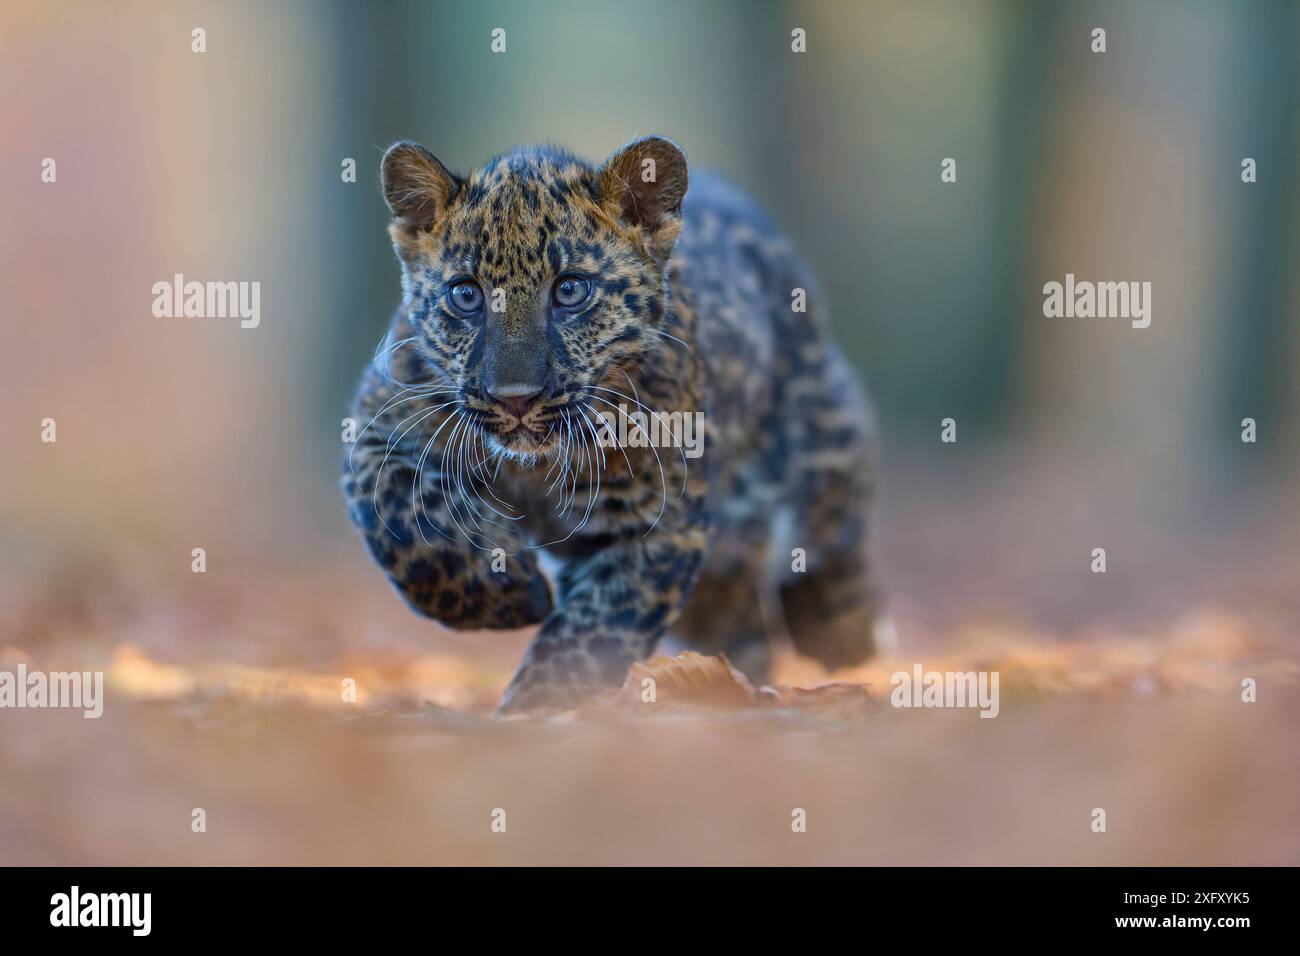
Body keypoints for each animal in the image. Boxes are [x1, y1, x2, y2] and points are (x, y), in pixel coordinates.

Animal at [342, 136, 886, 714]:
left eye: (570, 290)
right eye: (465, 294)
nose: (515, 398)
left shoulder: (658, 521)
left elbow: (594, 631)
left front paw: (537, 708)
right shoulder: (376, 433)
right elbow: (404, 525)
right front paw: (507, 591)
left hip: (825, 437)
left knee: (836, 537)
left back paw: (841, 636)